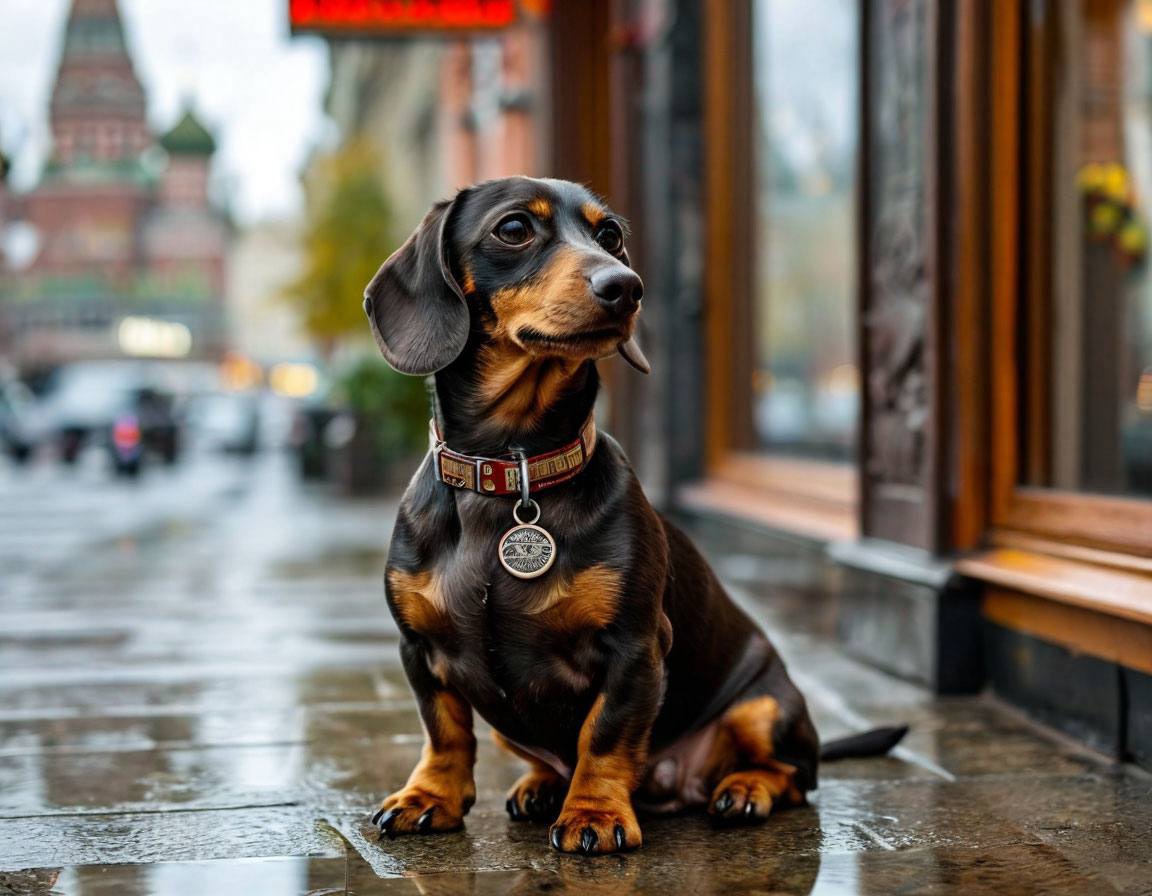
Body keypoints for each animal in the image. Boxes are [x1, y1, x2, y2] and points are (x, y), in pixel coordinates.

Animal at [364, 175, 903, 852]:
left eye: (610, 235)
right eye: (513, 229)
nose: (625, 286)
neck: (513, 472)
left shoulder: (635, 648)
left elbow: (605, 734)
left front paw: (593, 814)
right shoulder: (419, 649)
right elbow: (443, 731)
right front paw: (429, 797)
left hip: (766, 706)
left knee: (795, 773)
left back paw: (744, 788)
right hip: (510, 729)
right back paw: (542, 786)